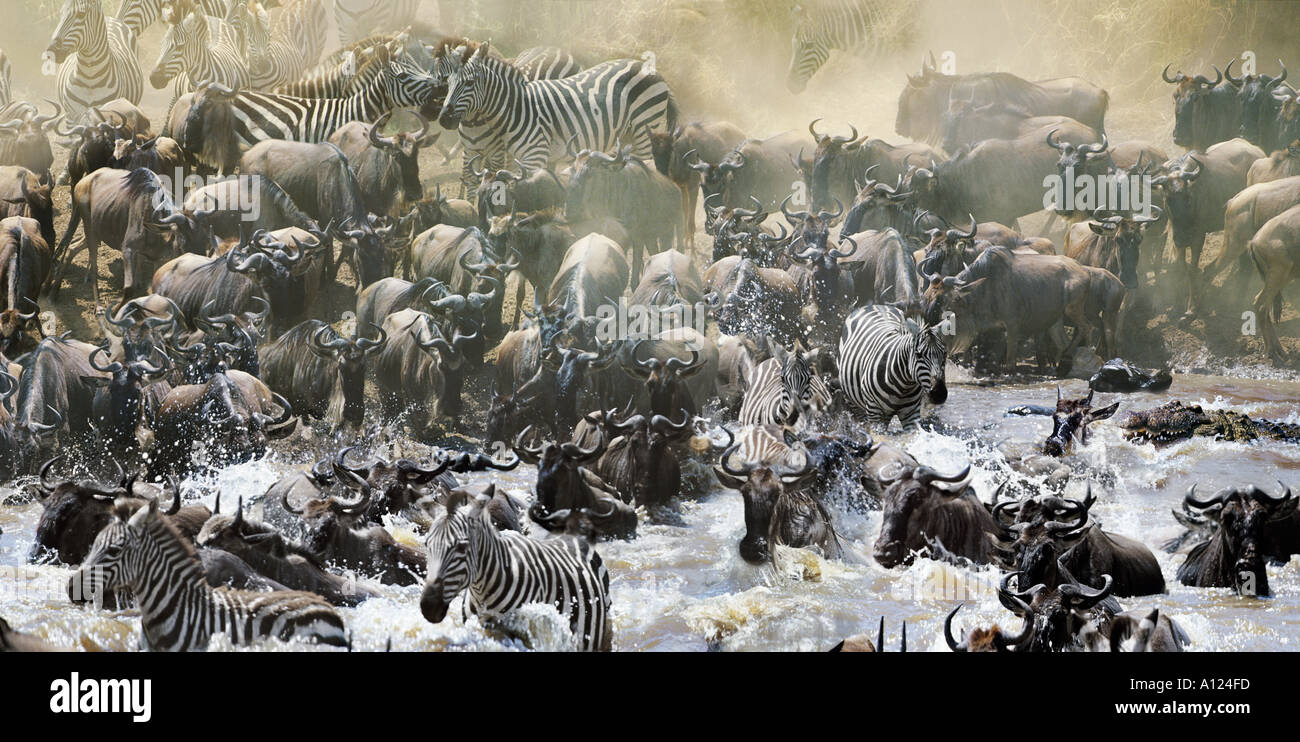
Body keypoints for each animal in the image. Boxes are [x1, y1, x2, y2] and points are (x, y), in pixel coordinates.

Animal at [438, 43, 677, 191]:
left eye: (469, 83)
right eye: (448, 82)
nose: (443, 119)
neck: (517, 108)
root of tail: (648, 66)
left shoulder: (535, 156)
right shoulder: (521, 158)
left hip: (644, 127)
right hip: (627, 133)